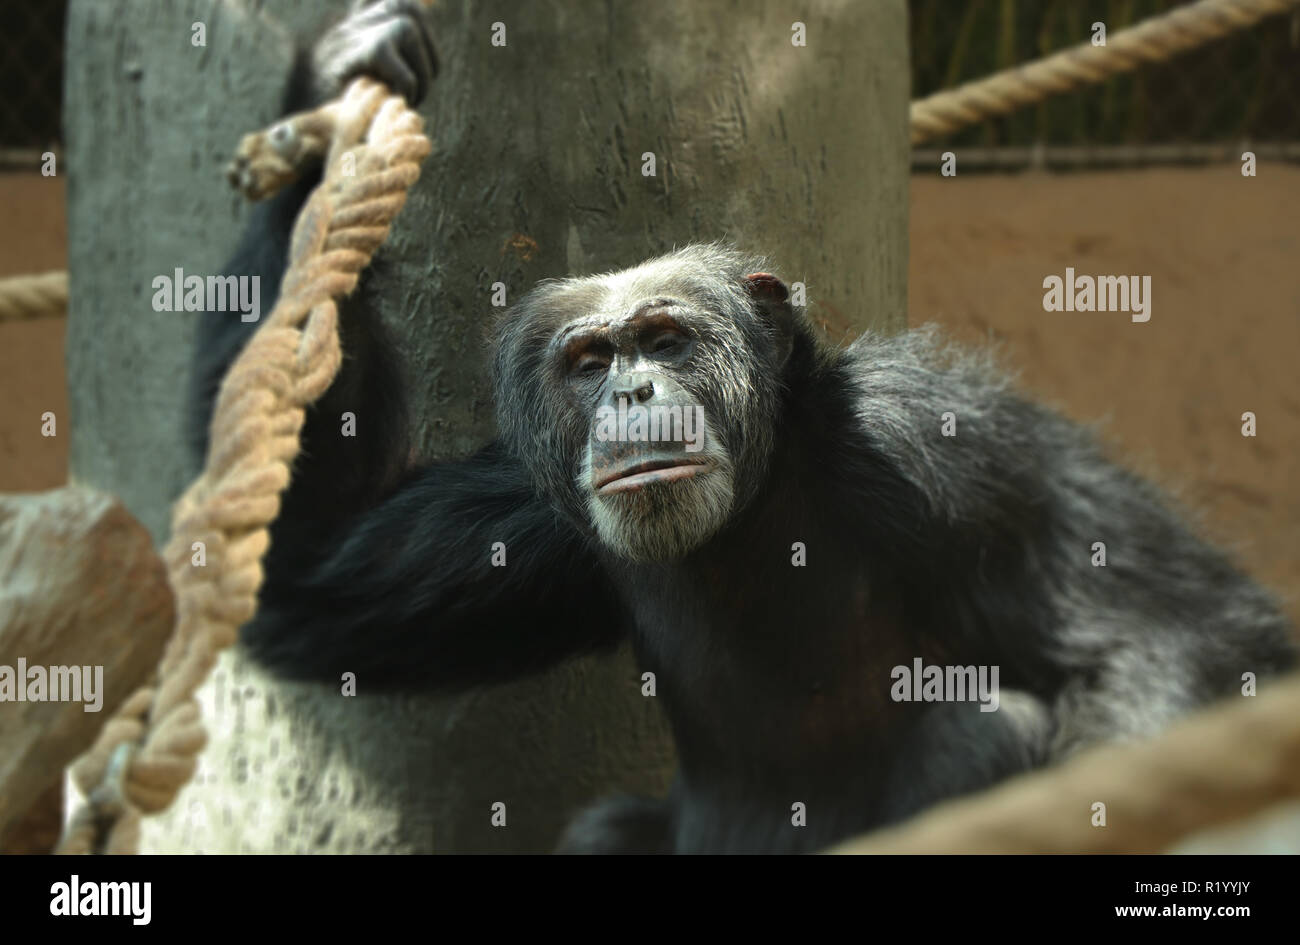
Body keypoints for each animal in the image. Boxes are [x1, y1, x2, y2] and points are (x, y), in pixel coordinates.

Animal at [190, 1, 1296, 853]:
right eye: (588, 363)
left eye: (666, 339)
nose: (633, 394)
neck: (762, 497)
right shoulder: (521, 515)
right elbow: (304, 577)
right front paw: (331, 84)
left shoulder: (944, 440)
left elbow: (1166, 643)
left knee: (987, 729)